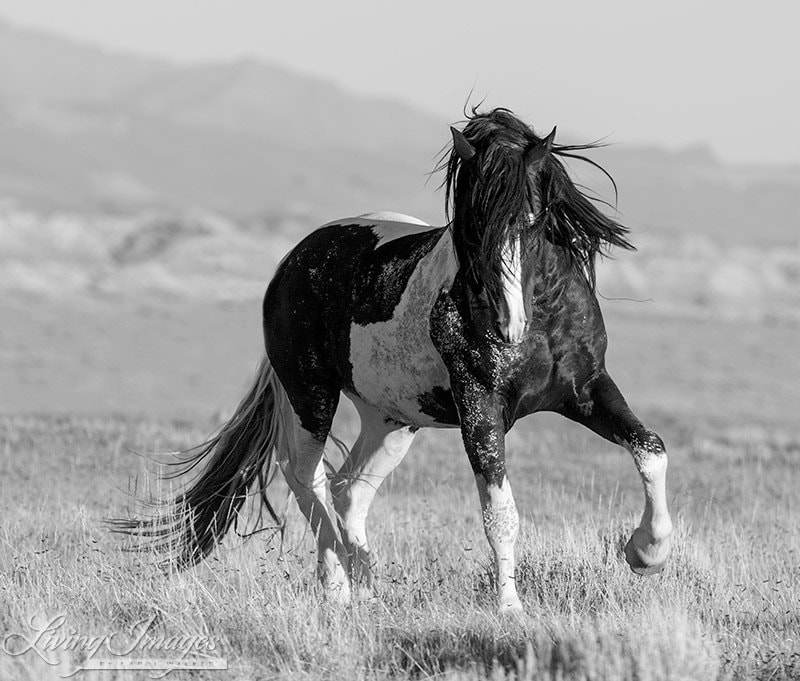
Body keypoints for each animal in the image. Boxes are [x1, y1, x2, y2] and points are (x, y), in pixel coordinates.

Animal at [115, 107, 673, 613]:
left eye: (533, 224)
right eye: (470, 227)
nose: (502, 326)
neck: (541, 322)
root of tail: (292, 260)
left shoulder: (587, 390)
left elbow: (651, 450)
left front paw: (646, 553)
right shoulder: (480, 408)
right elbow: (500, 511)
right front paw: (510, 608)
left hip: (391, 419)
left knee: (347, 489)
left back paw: (362, 579)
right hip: (311, 396)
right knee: (307, 477)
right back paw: (342, 585)